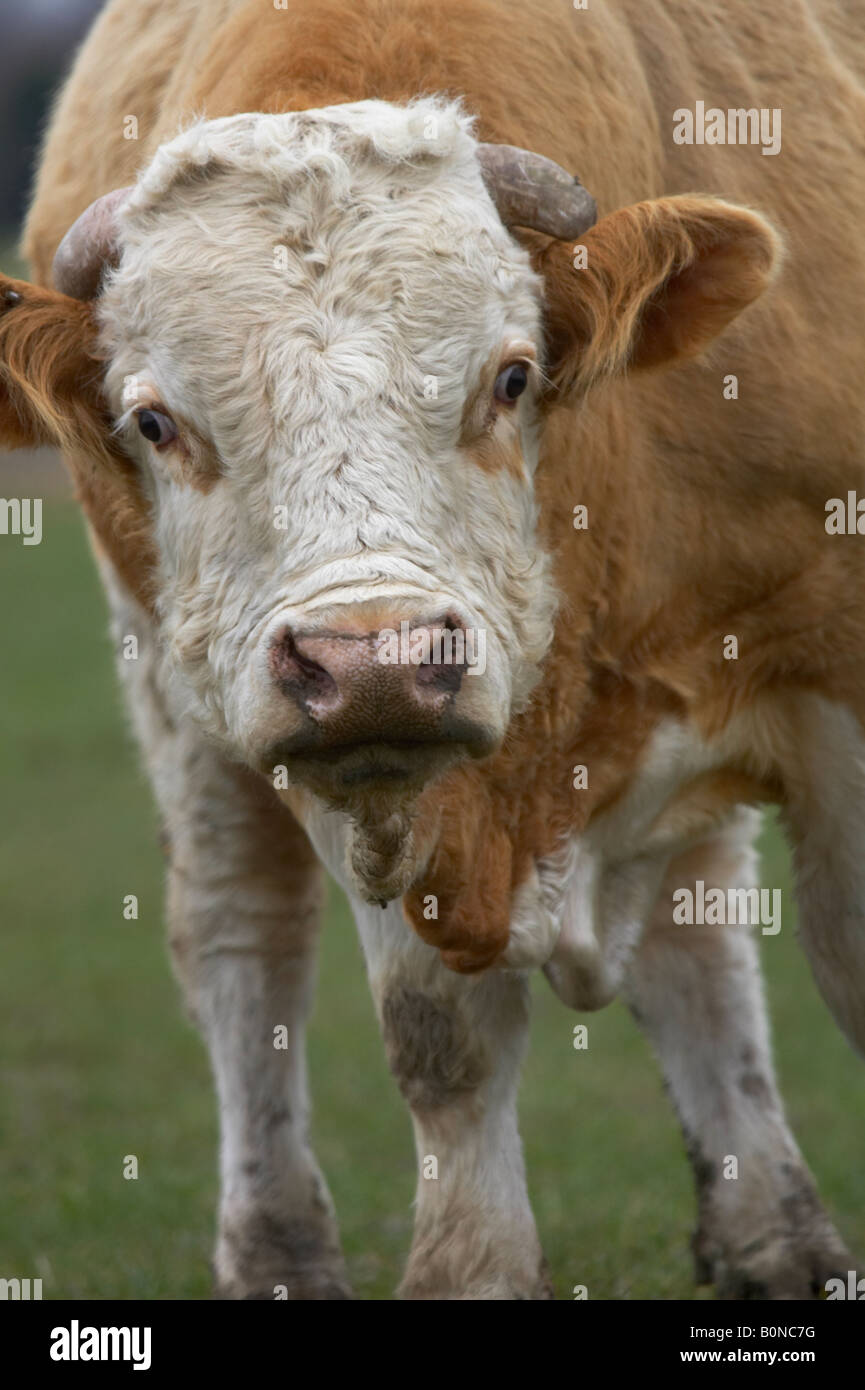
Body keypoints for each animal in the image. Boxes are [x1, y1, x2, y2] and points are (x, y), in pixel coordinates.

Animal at [1, 0, 864, 1300]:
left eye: (510, 376)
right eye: (152, 420)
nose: (372, 658)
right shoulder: (361, 763)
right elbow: (439, 1038)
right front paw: (472, 1266)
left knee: (695, 926)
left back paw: (773, 1229)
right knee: (243, 933)